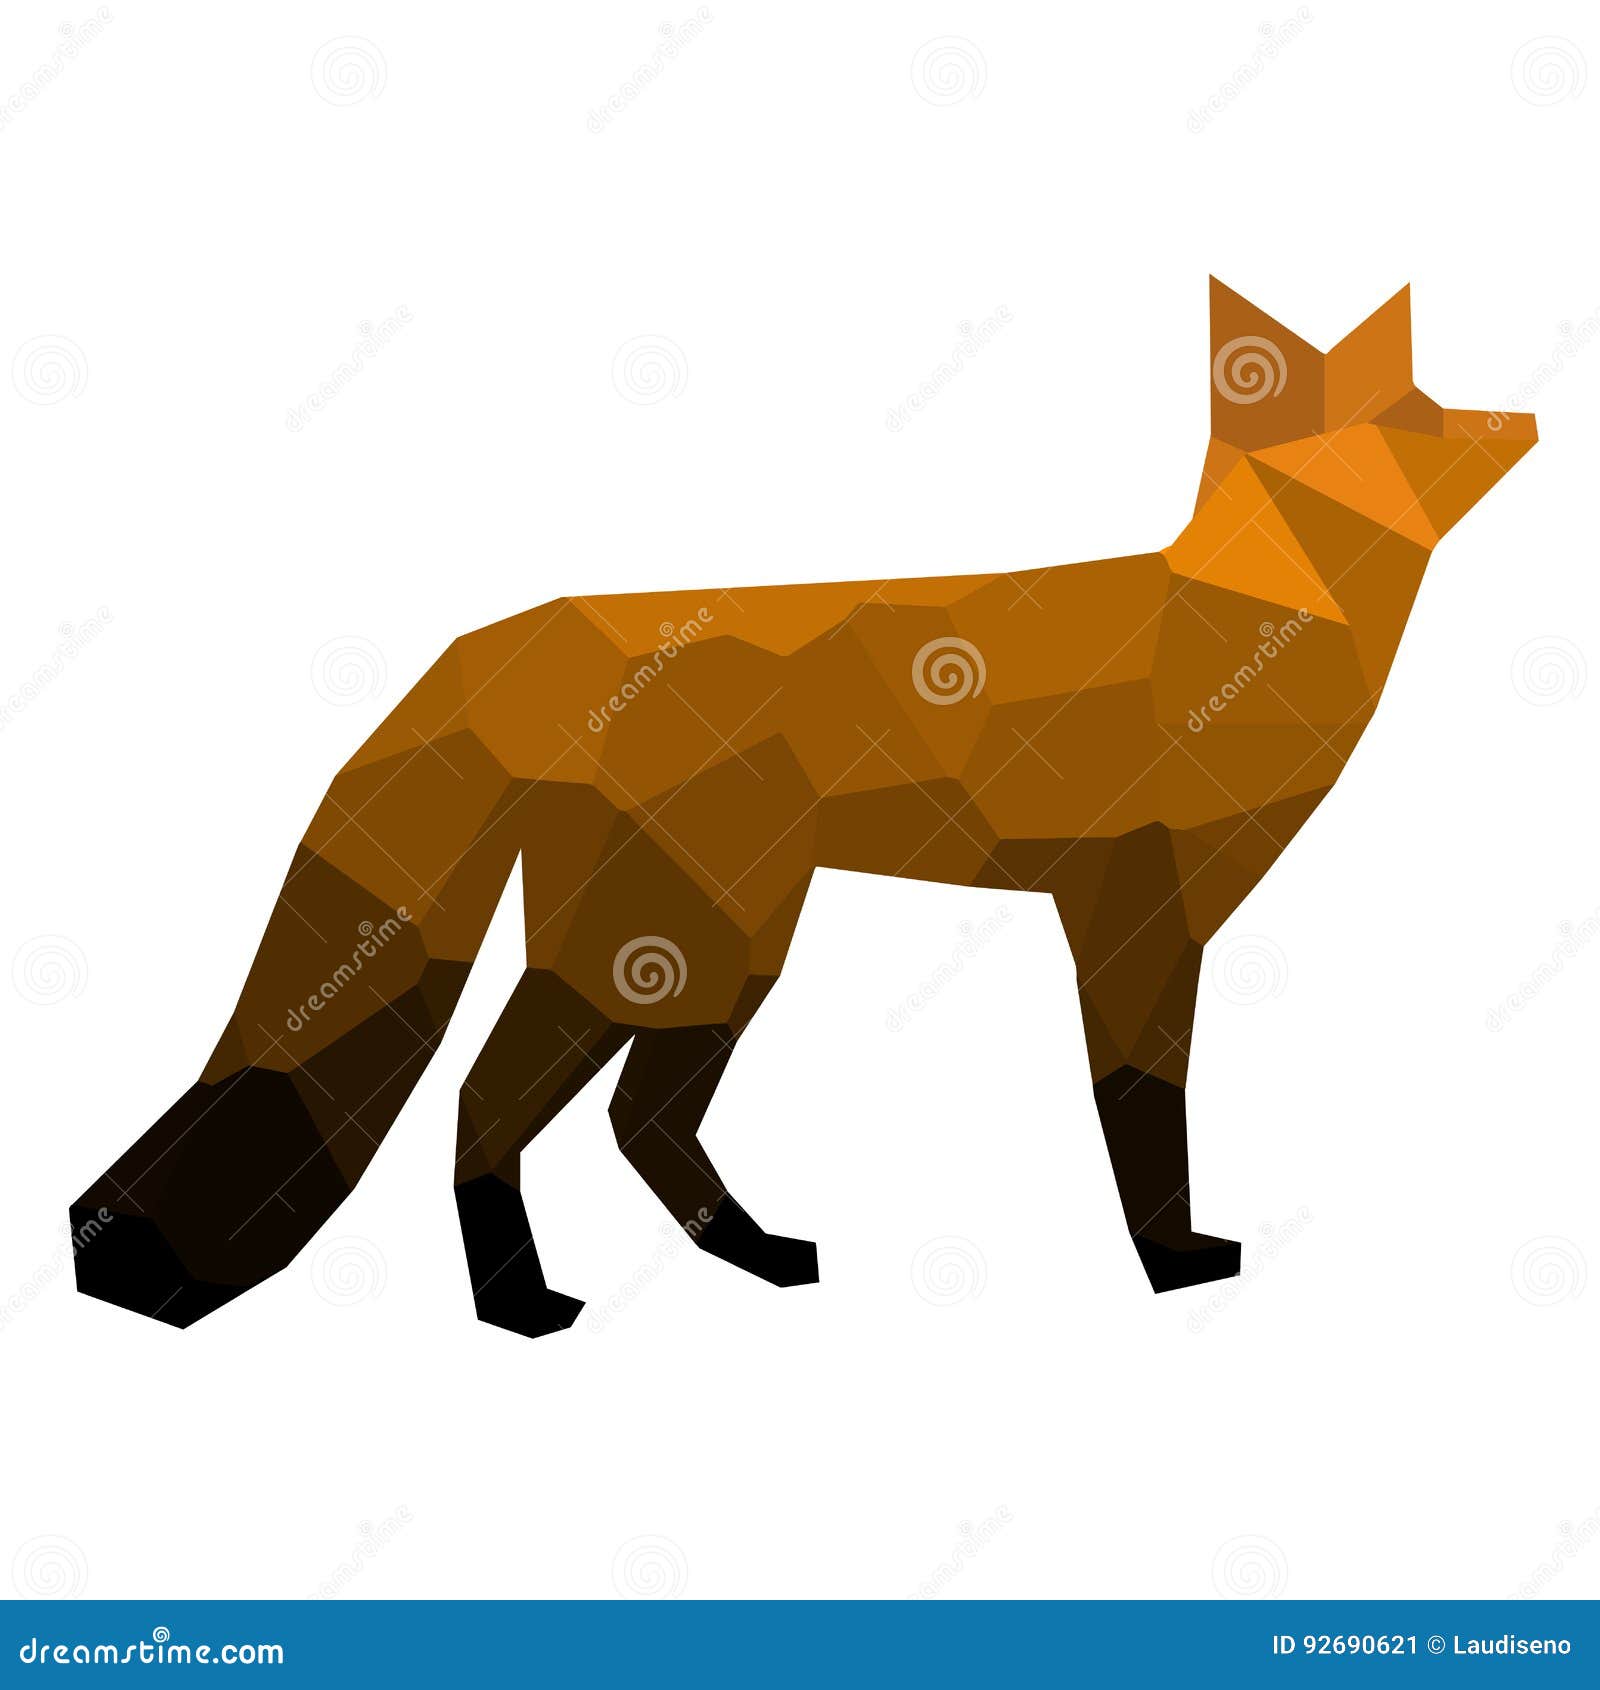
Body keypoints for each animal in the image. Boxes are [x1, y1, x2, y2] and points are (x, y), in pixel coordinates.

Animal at [72, 280, 1536, 1339]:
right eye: (1413, 423)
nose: (1514, 422)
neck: (1239, 631)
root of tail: (521, 634)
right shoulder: (1135, 916)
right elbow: (1142, 1113)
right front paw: (1168, 1265)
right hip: (677, 949)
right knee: (498, 1103)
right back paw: (520, 1307)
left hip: (709, 954)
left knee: (632, 1121)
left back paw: (747, 1254)